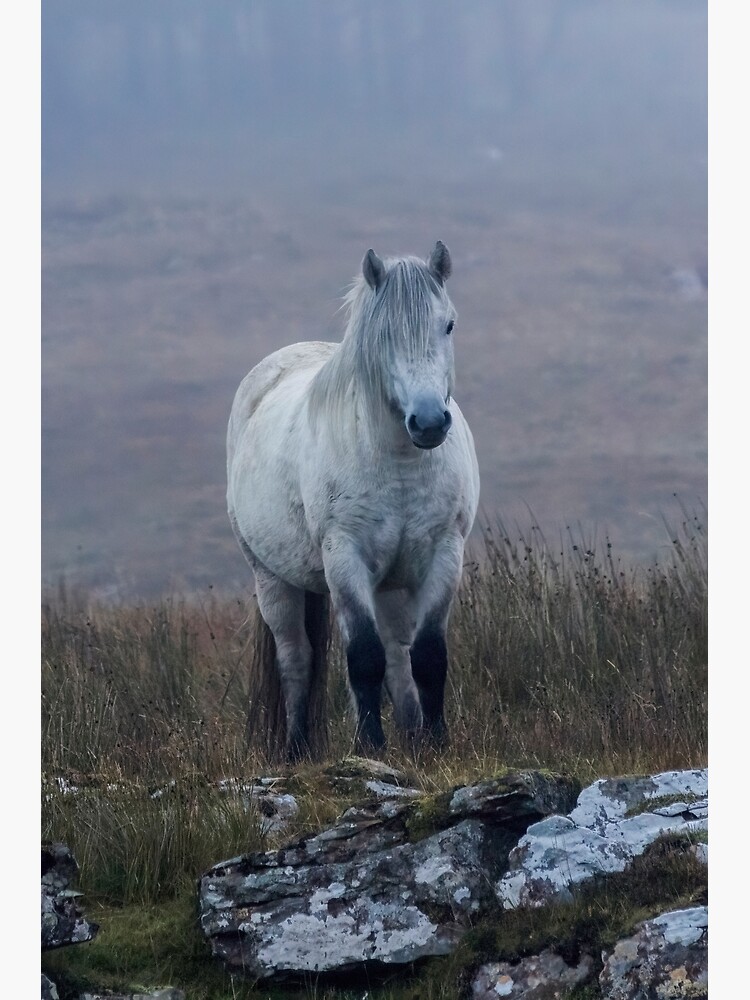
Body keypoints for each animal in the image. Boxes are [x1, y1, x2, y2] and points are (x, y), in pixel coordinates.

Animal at [227, 241, 480, 761]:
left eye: (449, 324)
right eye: (383, 335)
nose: (429, 422)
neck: (400, 463)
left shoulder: (444, 555)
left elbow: (428, 655)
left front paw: (436, 745)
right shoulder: (345, 557)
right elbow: (364, 657)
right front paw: (371, 747)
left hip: (392, 586)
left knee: (399, 655)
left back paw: (411, 735)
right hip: (272, 579)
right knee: (297, 659)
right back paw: (298, 749)